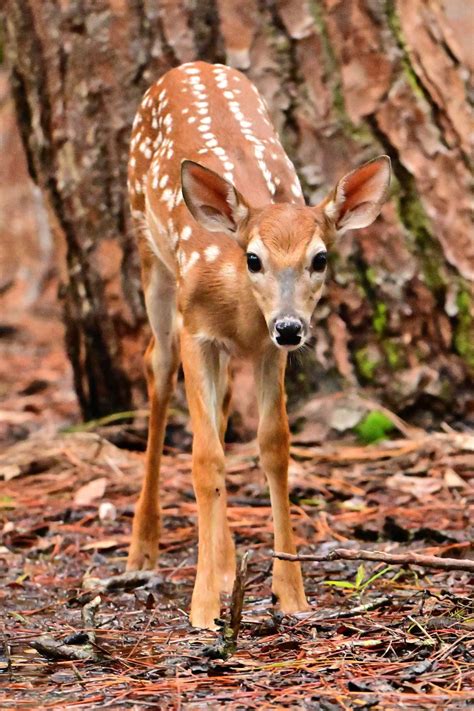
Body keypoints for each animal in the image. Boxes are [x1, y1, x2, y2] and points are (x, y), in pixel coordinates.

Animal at [126, 61, 391, 629]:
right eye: (253, 258)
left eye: (320, 259)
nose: (290, 327)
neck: (243, 313)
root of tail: (191, 65)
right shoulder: (196, 331)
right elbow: (205, 457)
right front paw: (203, 606)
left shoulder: (270, 354)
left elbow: (274, 445)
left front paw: (290, 594)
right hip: (148, 251)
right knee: (156, 368)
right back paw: (143, 549)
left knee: (224, 403)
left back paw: (227, 564)